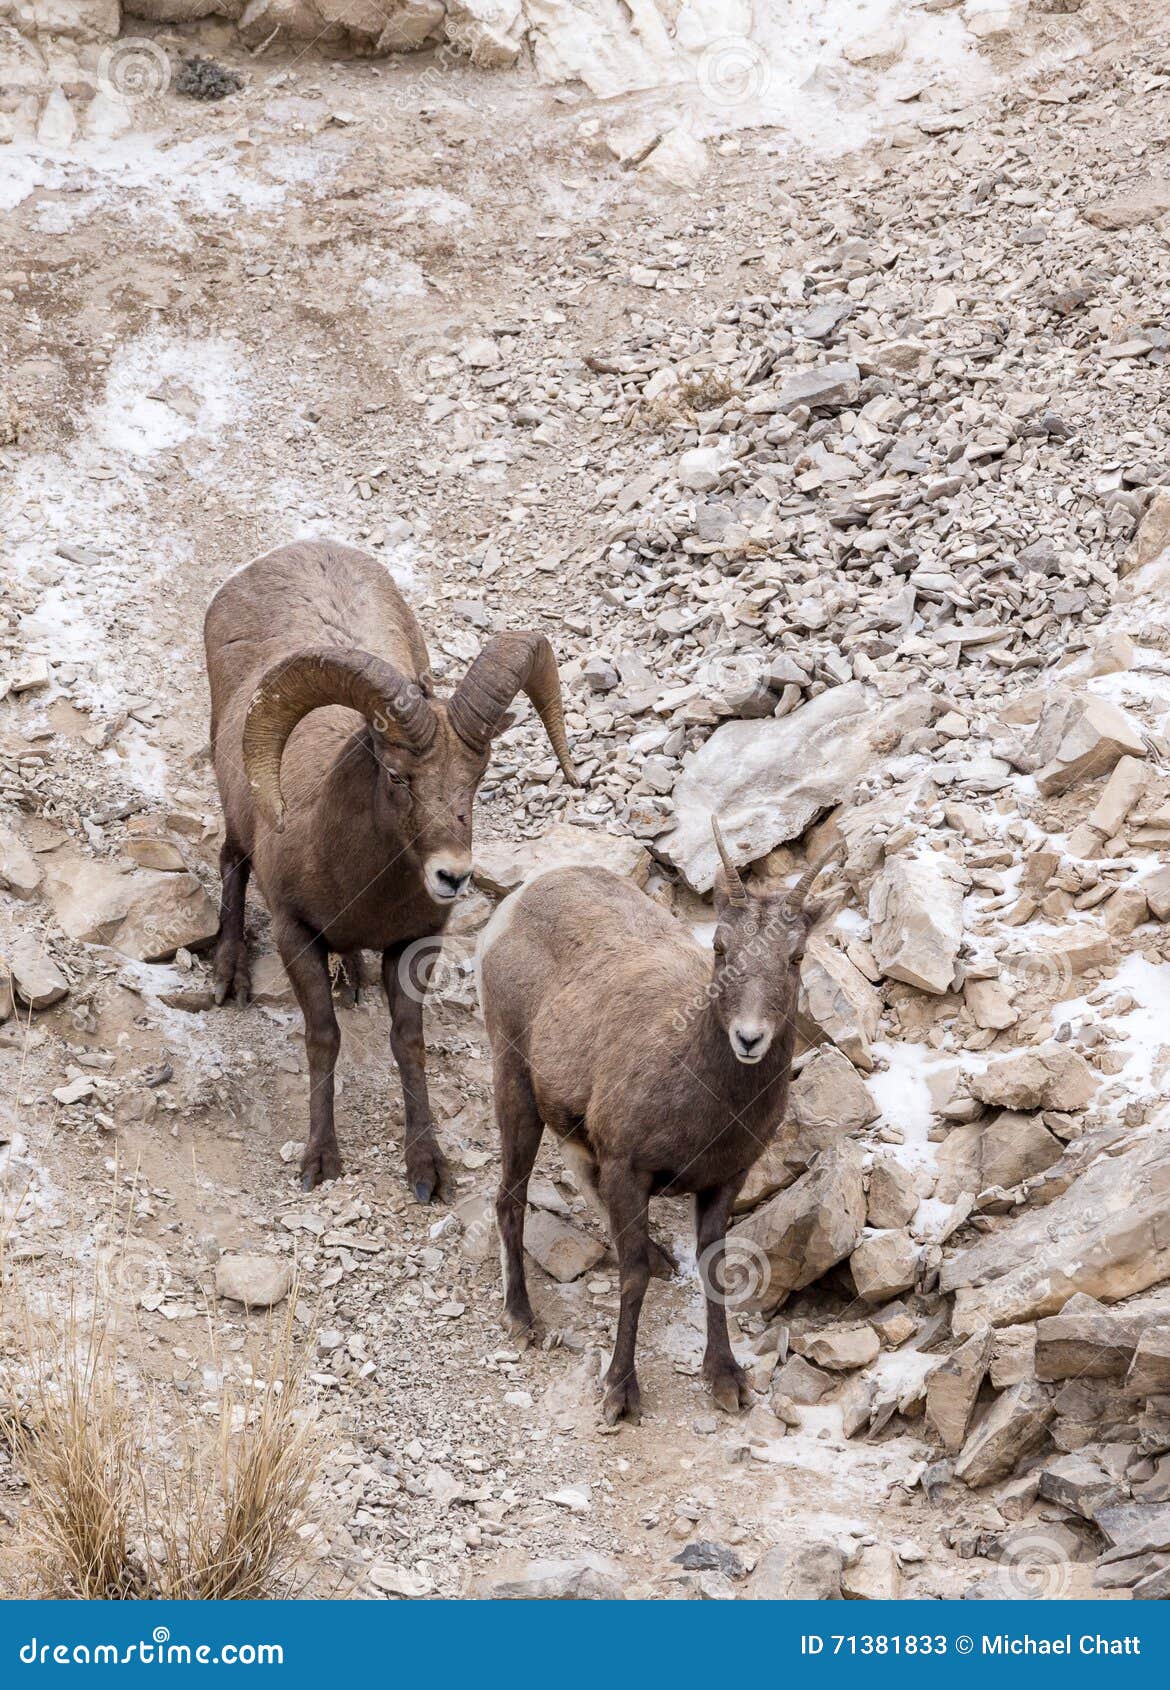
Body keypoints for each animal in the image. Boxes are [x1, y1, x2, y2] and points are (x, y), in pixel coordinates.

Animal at [204, 539, 579, 1196]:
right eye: (400, 777)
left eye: (477, 776)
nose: (452, 876)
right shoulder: (296, 936)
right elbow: (323, 1039)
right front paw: (320, 1162)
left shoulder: (412, 944)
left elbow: (410, 1044)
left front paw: (428, 1170)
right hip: (235, 813)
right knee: (232, 861)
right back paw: (230, 977)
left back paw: (352, 975)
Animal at [477, 820, 843, 1424]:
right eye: (720, 947)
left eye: (795, 957)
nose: (748, 1038)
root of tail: (518, 902)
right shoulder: (630, 1169)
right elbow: (632, 1277)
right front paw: (620, 1392)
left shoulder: (726, 1180)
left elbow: (713, 1267)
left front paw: (726, 1380)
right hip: (515, 1087)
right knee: (510, 1197)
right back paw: (522, 1318)